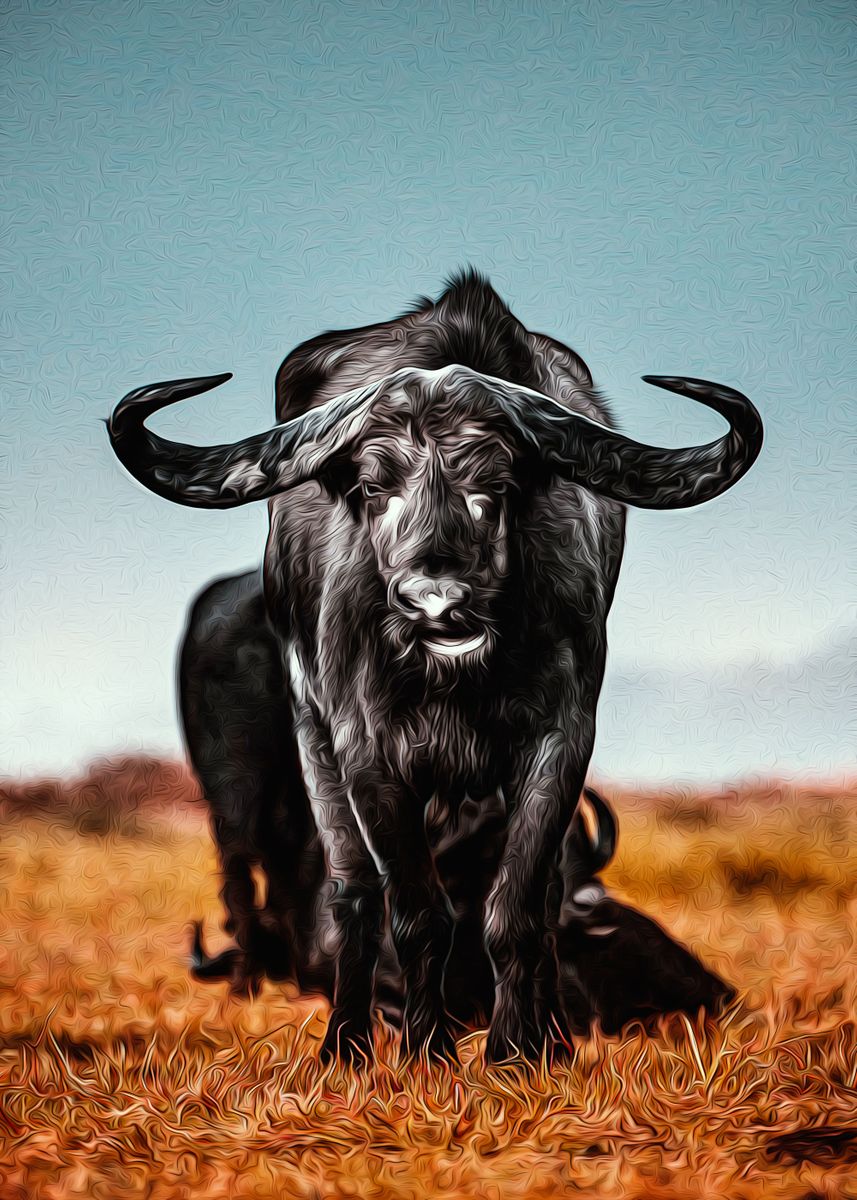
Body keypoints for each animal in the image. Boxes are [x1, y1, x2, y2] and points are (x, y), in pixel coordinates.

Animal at [109, 271, 761, 1060]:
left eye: (497, 485)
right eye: (371, 487)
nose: (435, 601)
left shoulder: (561, 739)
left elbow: (518, 906)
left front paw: (519, 1049)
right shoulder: (367, 750)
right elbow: (415, 910)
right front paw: (426, 1049)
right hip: (295, 755)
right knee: (343, 891)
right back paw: (345, 1041)